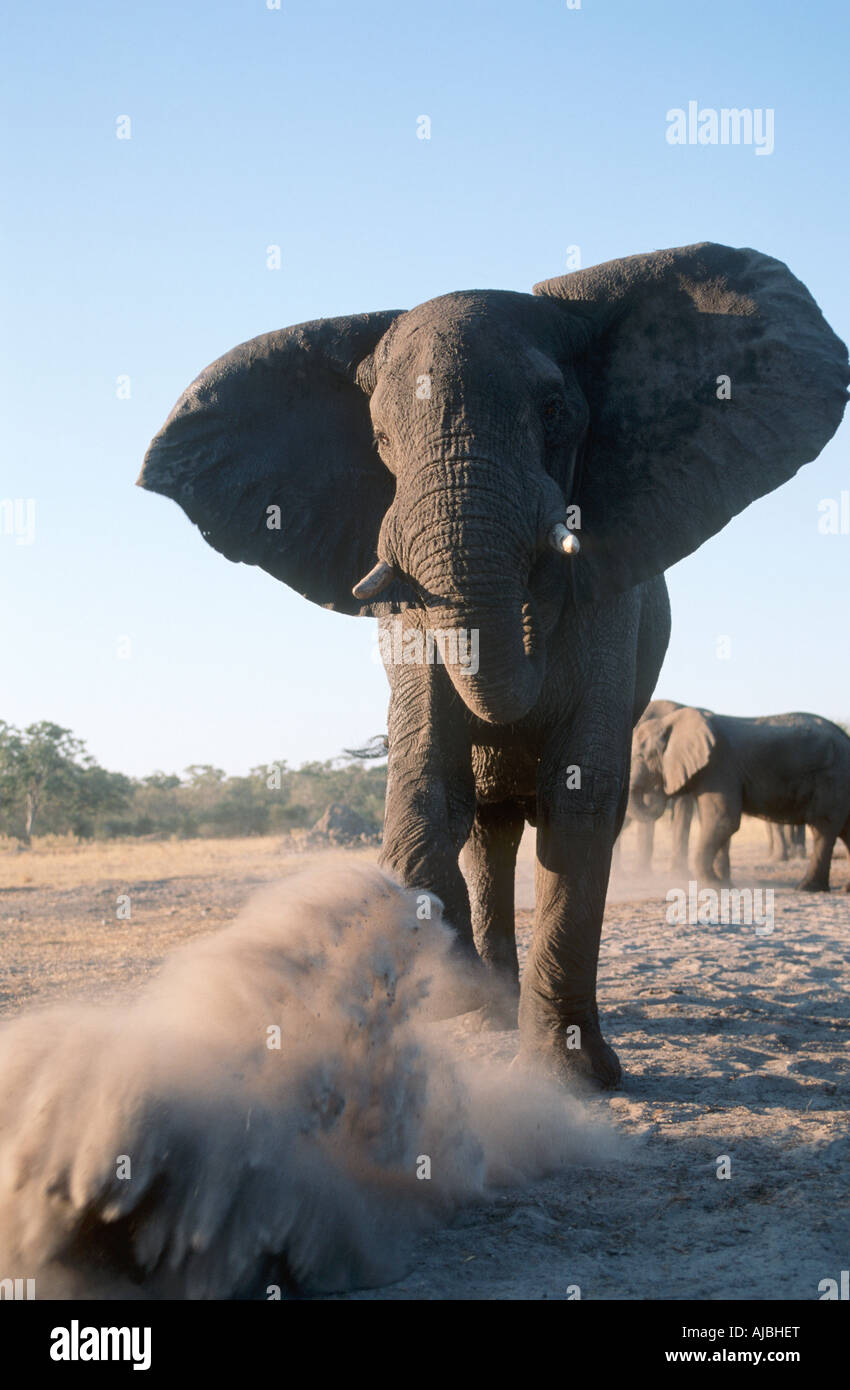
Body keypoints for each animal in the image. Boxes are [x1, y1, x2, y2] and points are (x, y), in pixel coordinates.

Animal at [630, 707, 850, 891]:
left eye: (641, 755)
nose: (659, 787)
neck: (670, 721)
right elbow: (719, 824)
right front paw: (726, 885)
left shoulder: (719, 765)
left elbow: (724, 820)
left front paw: (714, 885)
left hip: (833, 778)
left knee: (823, 828)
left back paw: (806, 888)